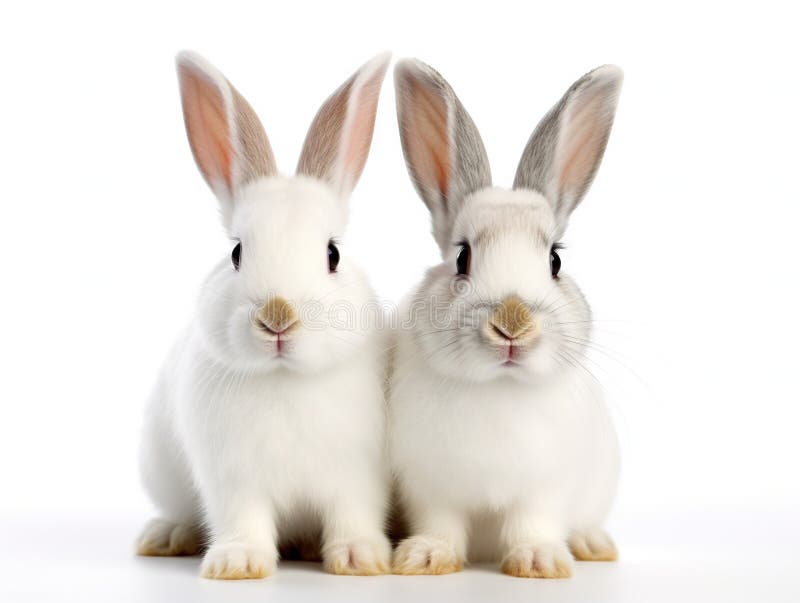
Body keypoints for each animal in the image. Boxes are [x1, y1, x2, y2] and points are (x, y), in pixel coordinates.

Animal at [135, 50, 393, 579]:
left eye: (333, 254)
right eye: (236, 253)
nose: (278, 317)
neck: (283, 379)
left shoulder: (357, 476)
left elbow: (353, 514)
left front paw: (359, 558)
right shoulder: (232, 480)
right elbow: (243, 520)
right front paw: (237, 563)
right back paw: (166, 536)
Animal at [388, 59, 623, 578]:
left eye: (555, 261)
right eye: (462, 258)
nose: (512, 325)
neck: (500, 388)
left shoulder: (545, 488)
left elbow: (532, 523)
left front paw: (538, 562)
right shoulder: (430, 486)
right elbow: (441, 524)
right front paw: (426, 557)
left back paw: (593, 544)